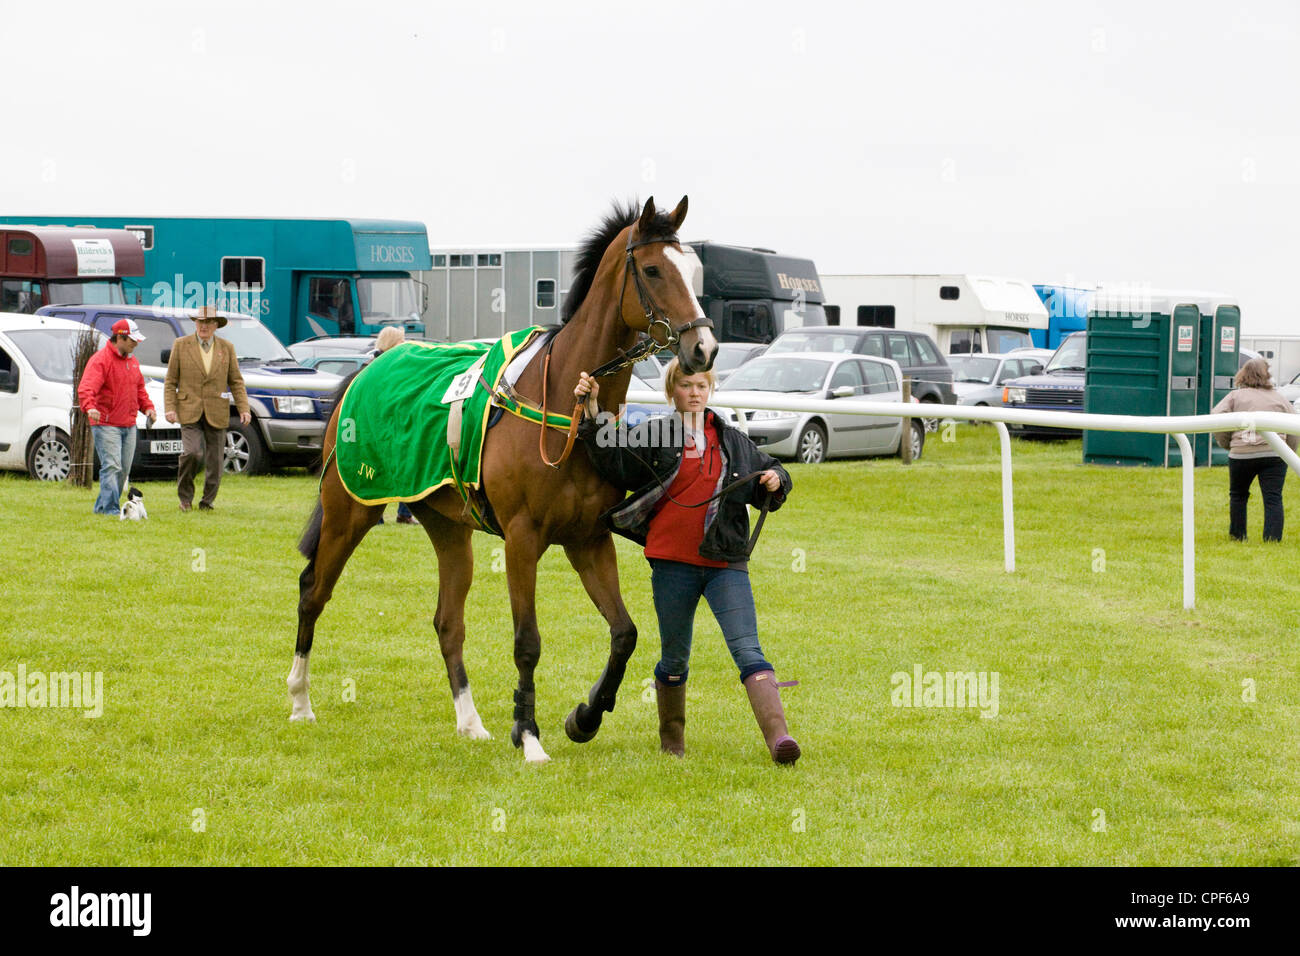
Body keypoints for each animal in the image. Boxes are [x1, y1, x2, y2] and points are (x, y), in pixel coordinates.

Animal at [288, 196, 718, 763]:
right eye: (652, 270)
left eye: (693, 270)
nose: (705, 348)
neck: (563, 404)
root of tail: (368, 367)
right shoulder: (521, 539)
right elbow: (528, 642)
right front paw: (529, 736)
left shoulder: (588, 539)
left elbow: (624, 632)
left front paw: (585, 716)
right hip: (349, 510)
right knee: (313, 591)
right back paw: (300, 701)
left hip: (448, 527)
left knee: (448, 622)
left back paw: (470, 722)